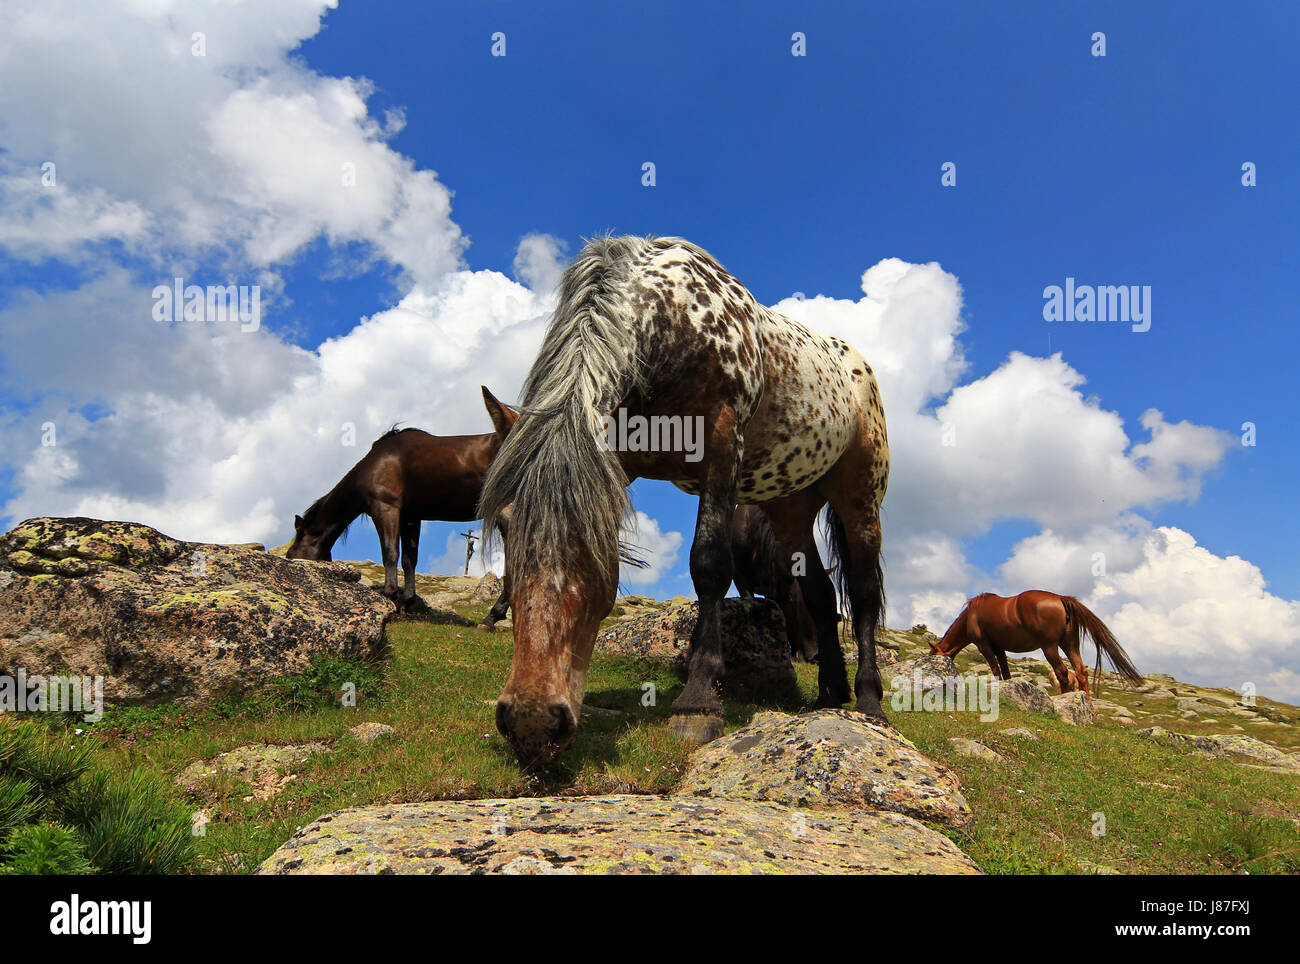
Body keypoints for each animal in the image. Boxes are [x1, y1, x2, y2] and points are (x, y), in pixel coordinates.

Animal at [287, 387, 519, 627]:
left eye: (291, 555)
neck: (375, 465)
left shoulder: (385, 508)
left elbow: (390, 553)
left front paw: (389, 595)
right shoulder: (410, 517)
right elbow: (409, 559)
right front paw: (406, 602)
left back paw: (492, 617)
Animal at [930, 590, 1143, 699]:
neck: (971, 616)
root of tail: (1061, 599)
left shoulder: (985, 647)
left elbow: (996, 670)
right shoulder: (1000, 649)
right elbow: (1006, 672)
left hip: (1050, 647)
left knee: (1062, 672)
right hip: (1069, 645)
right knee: (1081, 672)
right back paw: (1089, 710)